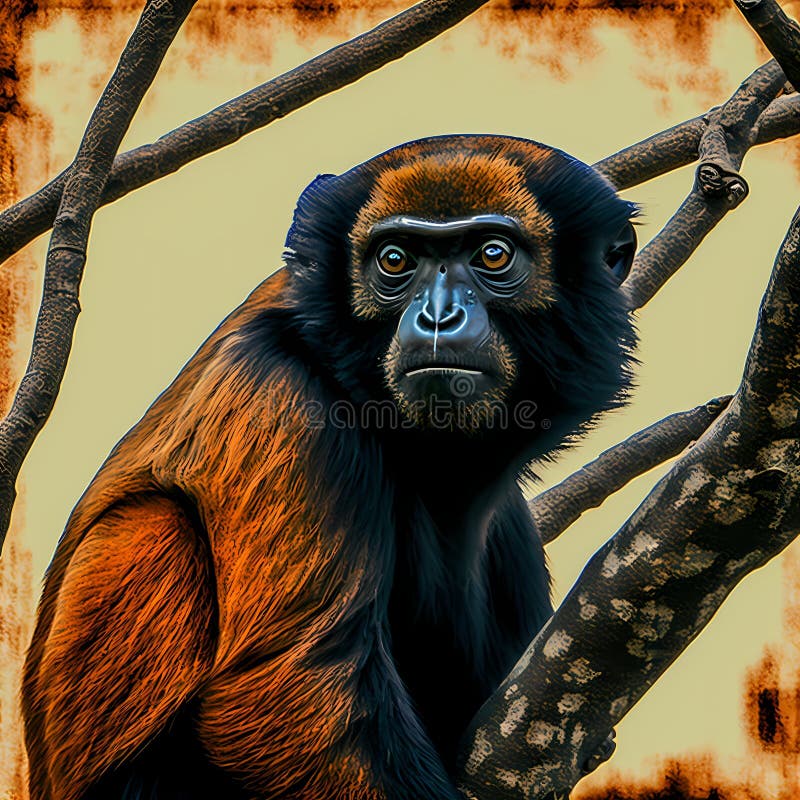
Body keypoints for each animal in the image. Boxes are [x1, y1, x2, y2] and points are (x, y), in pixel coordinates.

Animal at [22, 134, 637, 800]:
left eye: (493, 254)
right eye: (394, 260)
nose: (438, 316)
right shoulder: (284, 395)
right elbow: (293, 677)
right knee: (157, 520)